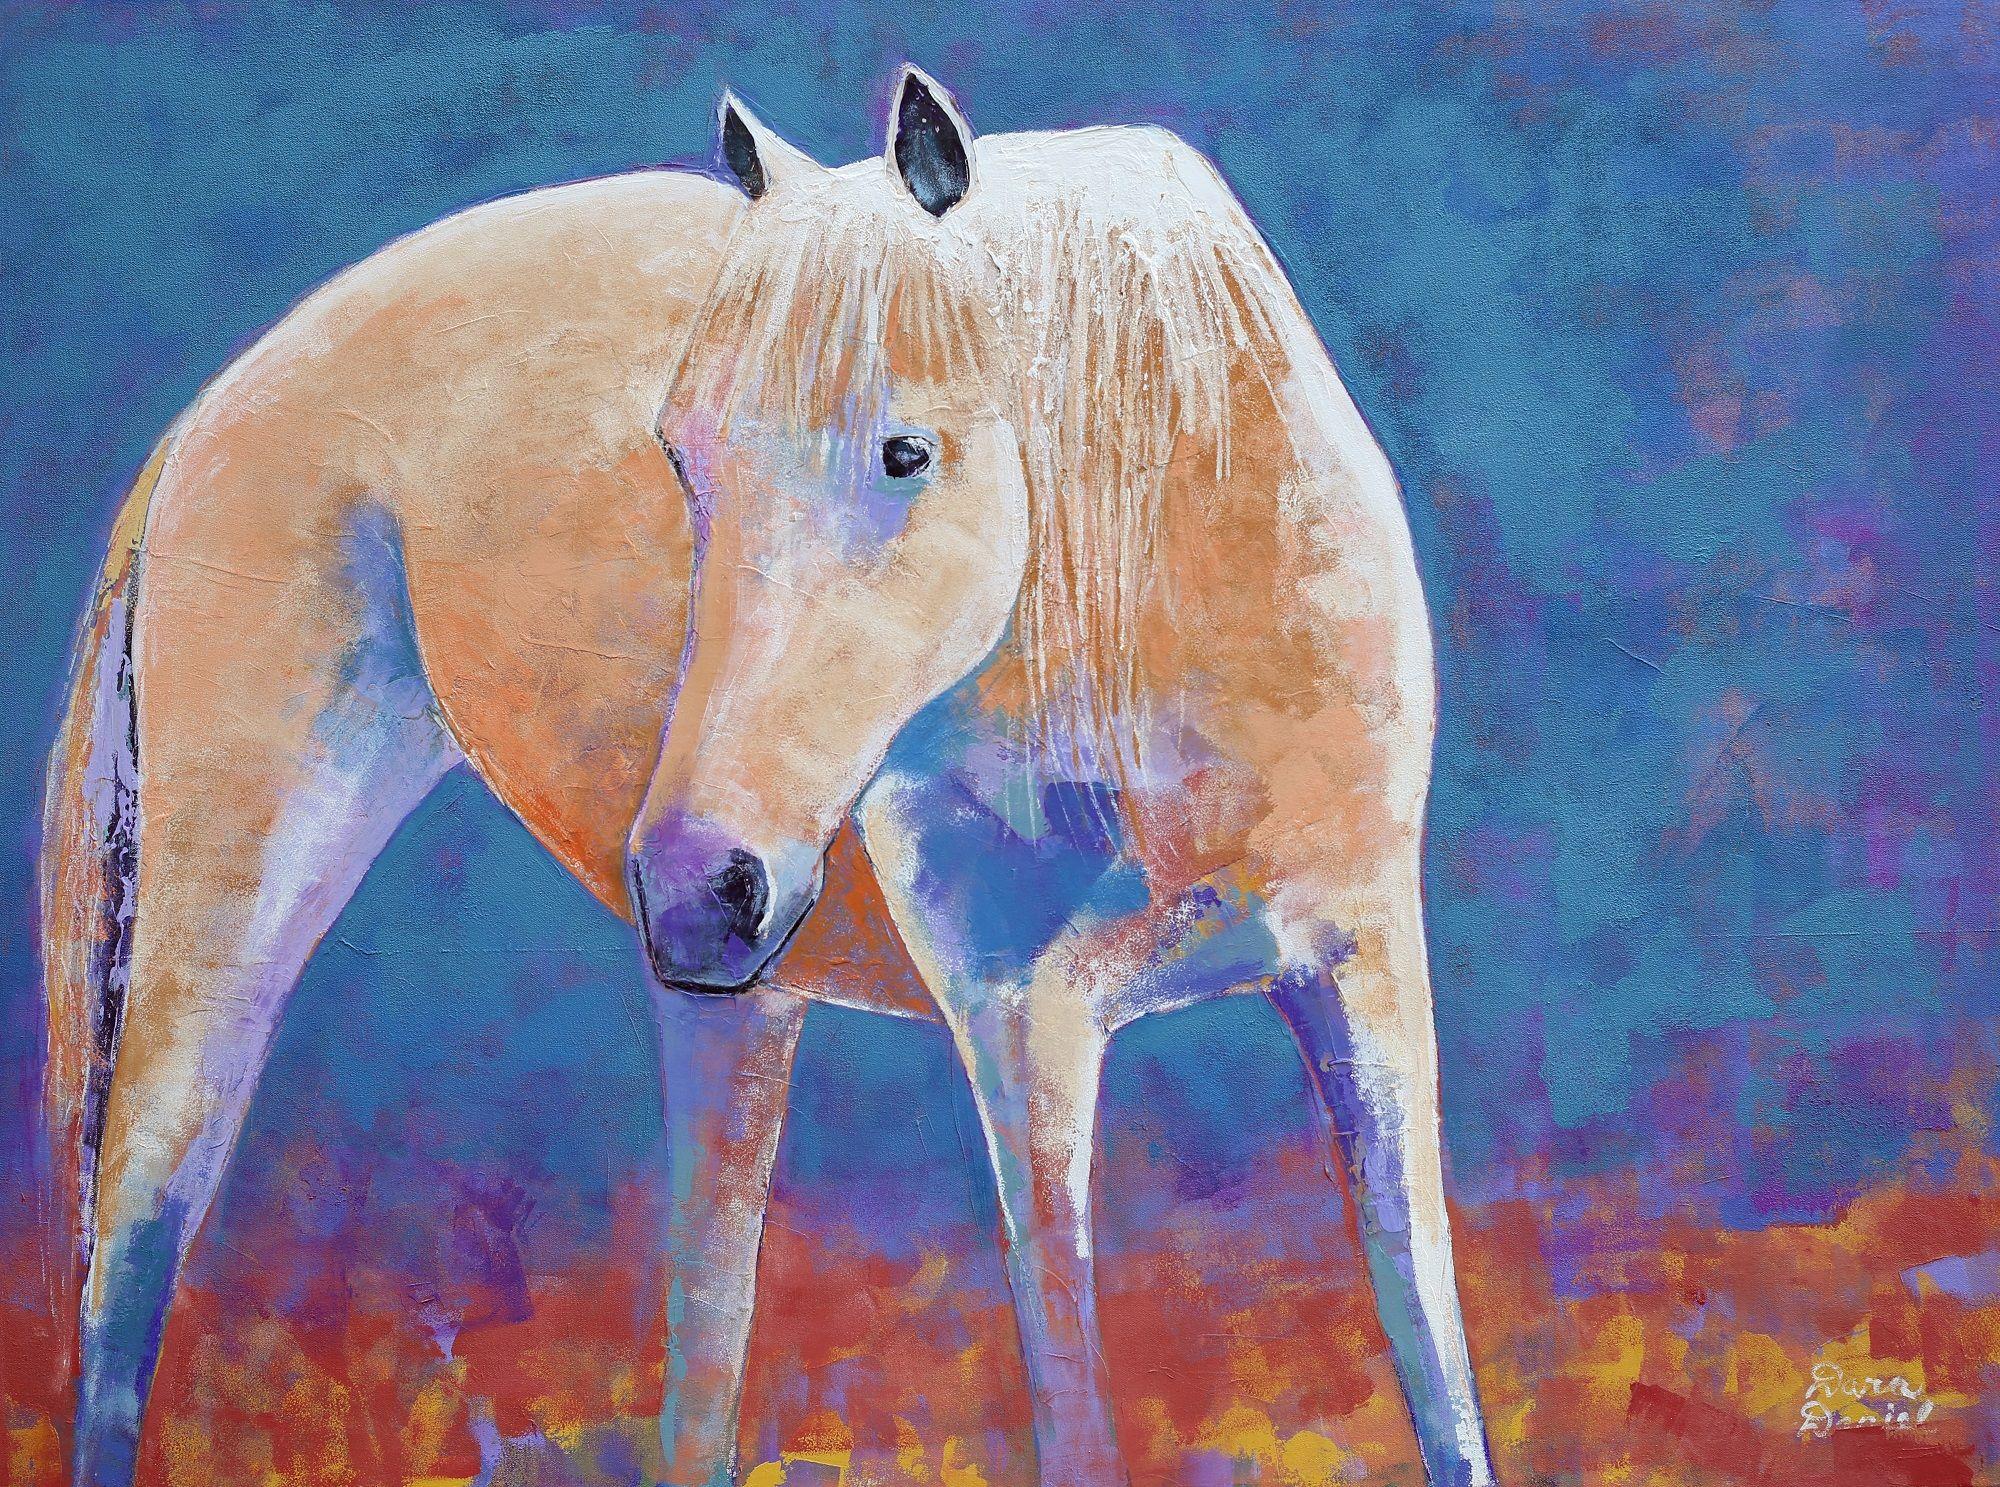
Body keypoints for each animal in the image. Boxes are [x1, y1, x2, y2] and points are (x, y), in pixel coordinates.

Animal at [42, 67, 1496, 1487]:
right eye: (680, 457)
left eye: (906, 452)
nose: (697, 891)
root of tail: (230, 395)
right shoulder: (1026, 1030)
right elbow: (1077, 1413)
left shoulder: (1366, 973)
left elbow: (1433, 1355)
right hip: (227, 926)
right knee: (133, 1249)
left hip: (735, 1021)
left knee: (703, 1347)